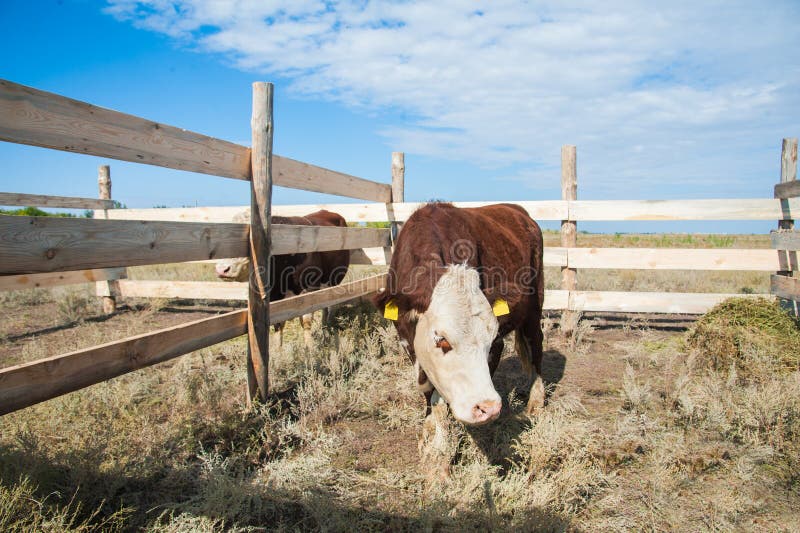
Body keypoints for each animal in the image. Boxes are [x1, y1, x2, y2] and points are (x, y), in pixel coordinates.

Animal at [215, 210, 350, 347]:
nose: (222, 269)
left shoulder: (310, 288)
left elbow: (306, 321)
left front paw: (310, 348)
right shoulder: (275, 297)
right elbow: (278, 324)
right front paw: (278, 350)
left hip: (333, 281)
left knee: (328, 307)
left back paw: (327, 330)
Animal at [374, 202, 545, 427]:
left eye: (489, 339)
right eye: (442, 340)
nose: (488, 408)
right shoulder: (406, 338)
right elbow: (428, 387)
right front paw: (433, 427)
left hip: (535, 304)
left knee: (535, 343)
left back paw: (536, 401)